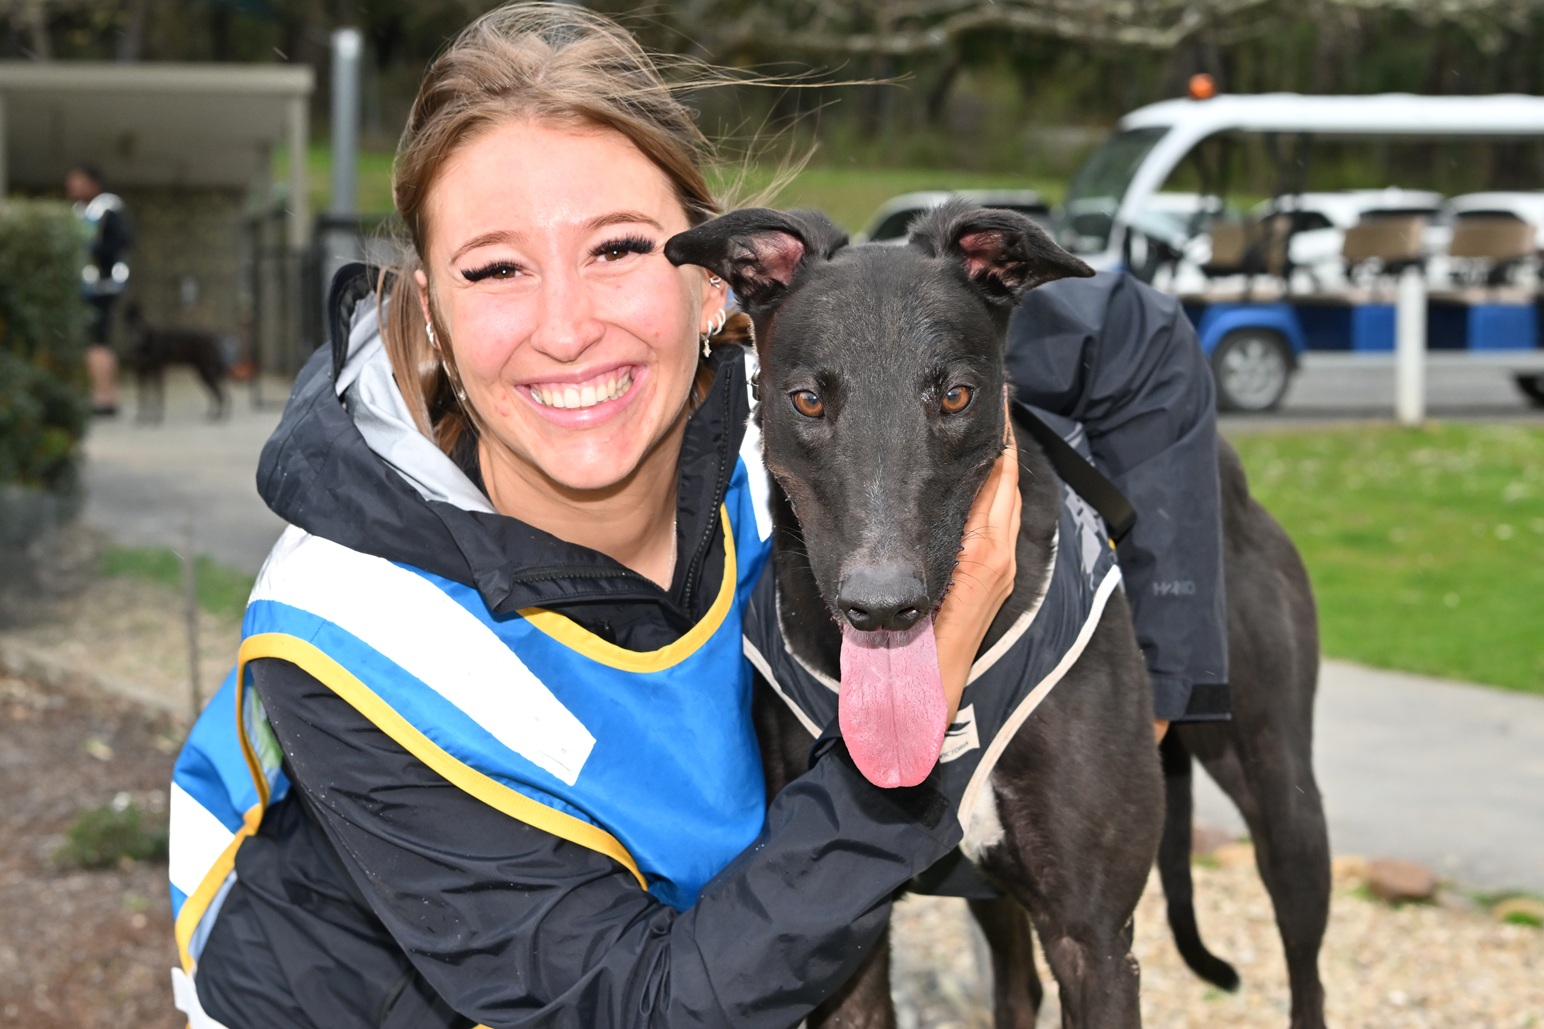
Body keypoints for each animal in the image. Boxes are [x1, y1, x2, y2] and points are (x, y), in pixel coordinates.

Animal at [667, 201, 1329, 1029]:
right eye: (808, 400)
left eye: (955, 394)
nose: (882, 605)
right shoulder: (842, 952)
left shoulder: (1093, 936)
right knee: (1017, 989)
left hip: (1282, 798)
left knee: (1306, 962)